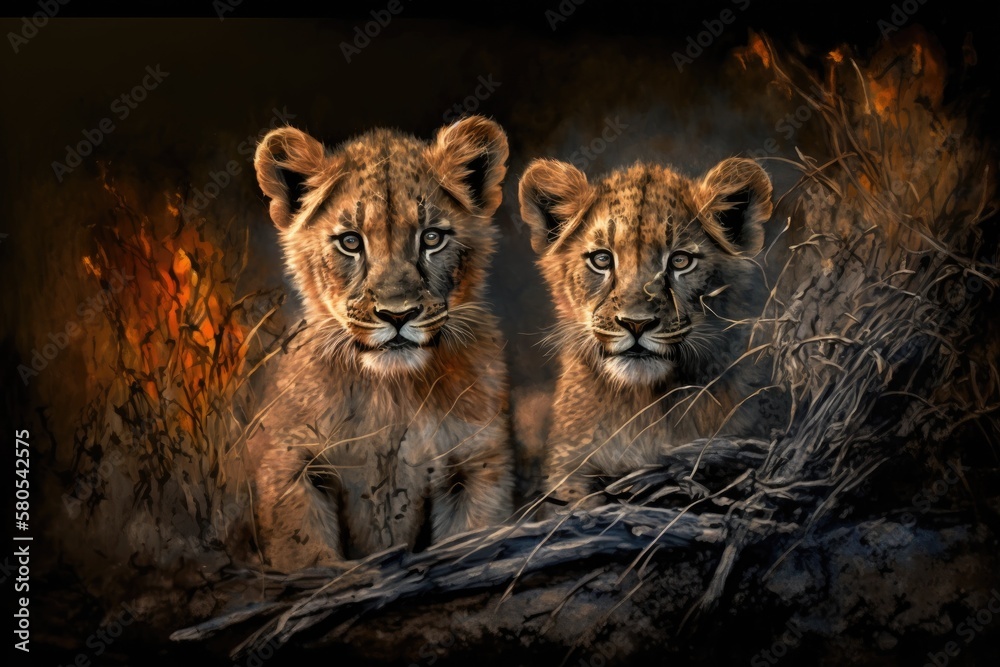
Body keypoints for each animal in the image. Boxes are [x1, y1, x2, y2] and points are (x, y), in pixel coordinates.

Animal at [248, 116, 514, 570]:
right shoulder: (287, 460)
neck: (392, 393)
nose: (397, 314)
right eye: (351, 242)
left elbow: (474, 532)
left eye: (432, 239)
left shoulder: (478, 460)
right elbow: (301, 549)